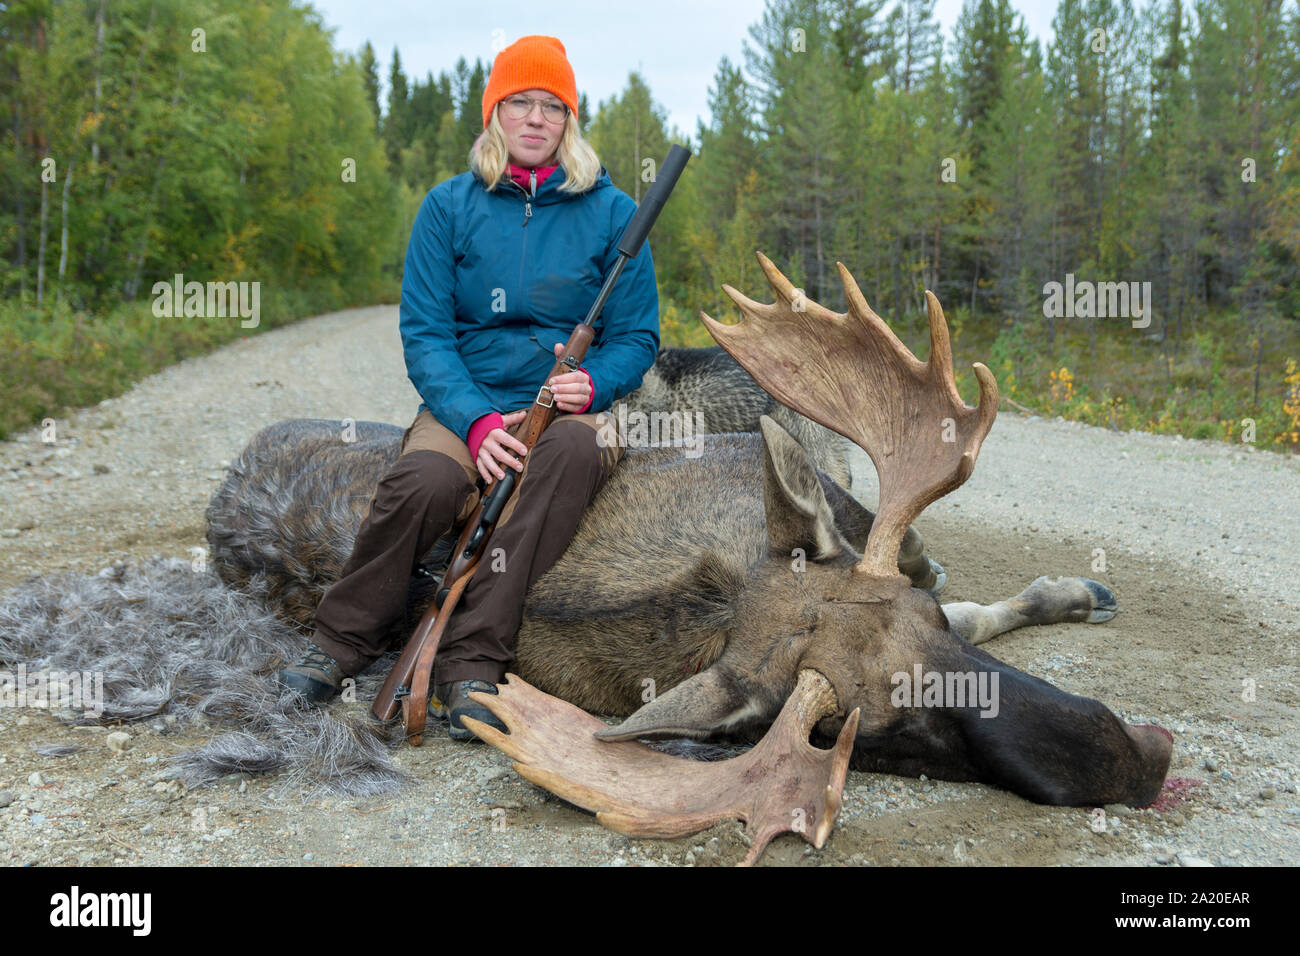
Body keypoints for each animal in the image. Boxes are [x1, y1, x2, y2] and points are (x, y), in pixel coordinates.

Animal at [205, 253, 1173, 865]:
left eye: (928, 632)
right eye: (861, 734)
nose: (1134, 759)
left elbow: (953, 588)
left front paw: (1068, 592)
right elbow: (976, 599)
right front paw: (1062, 593)